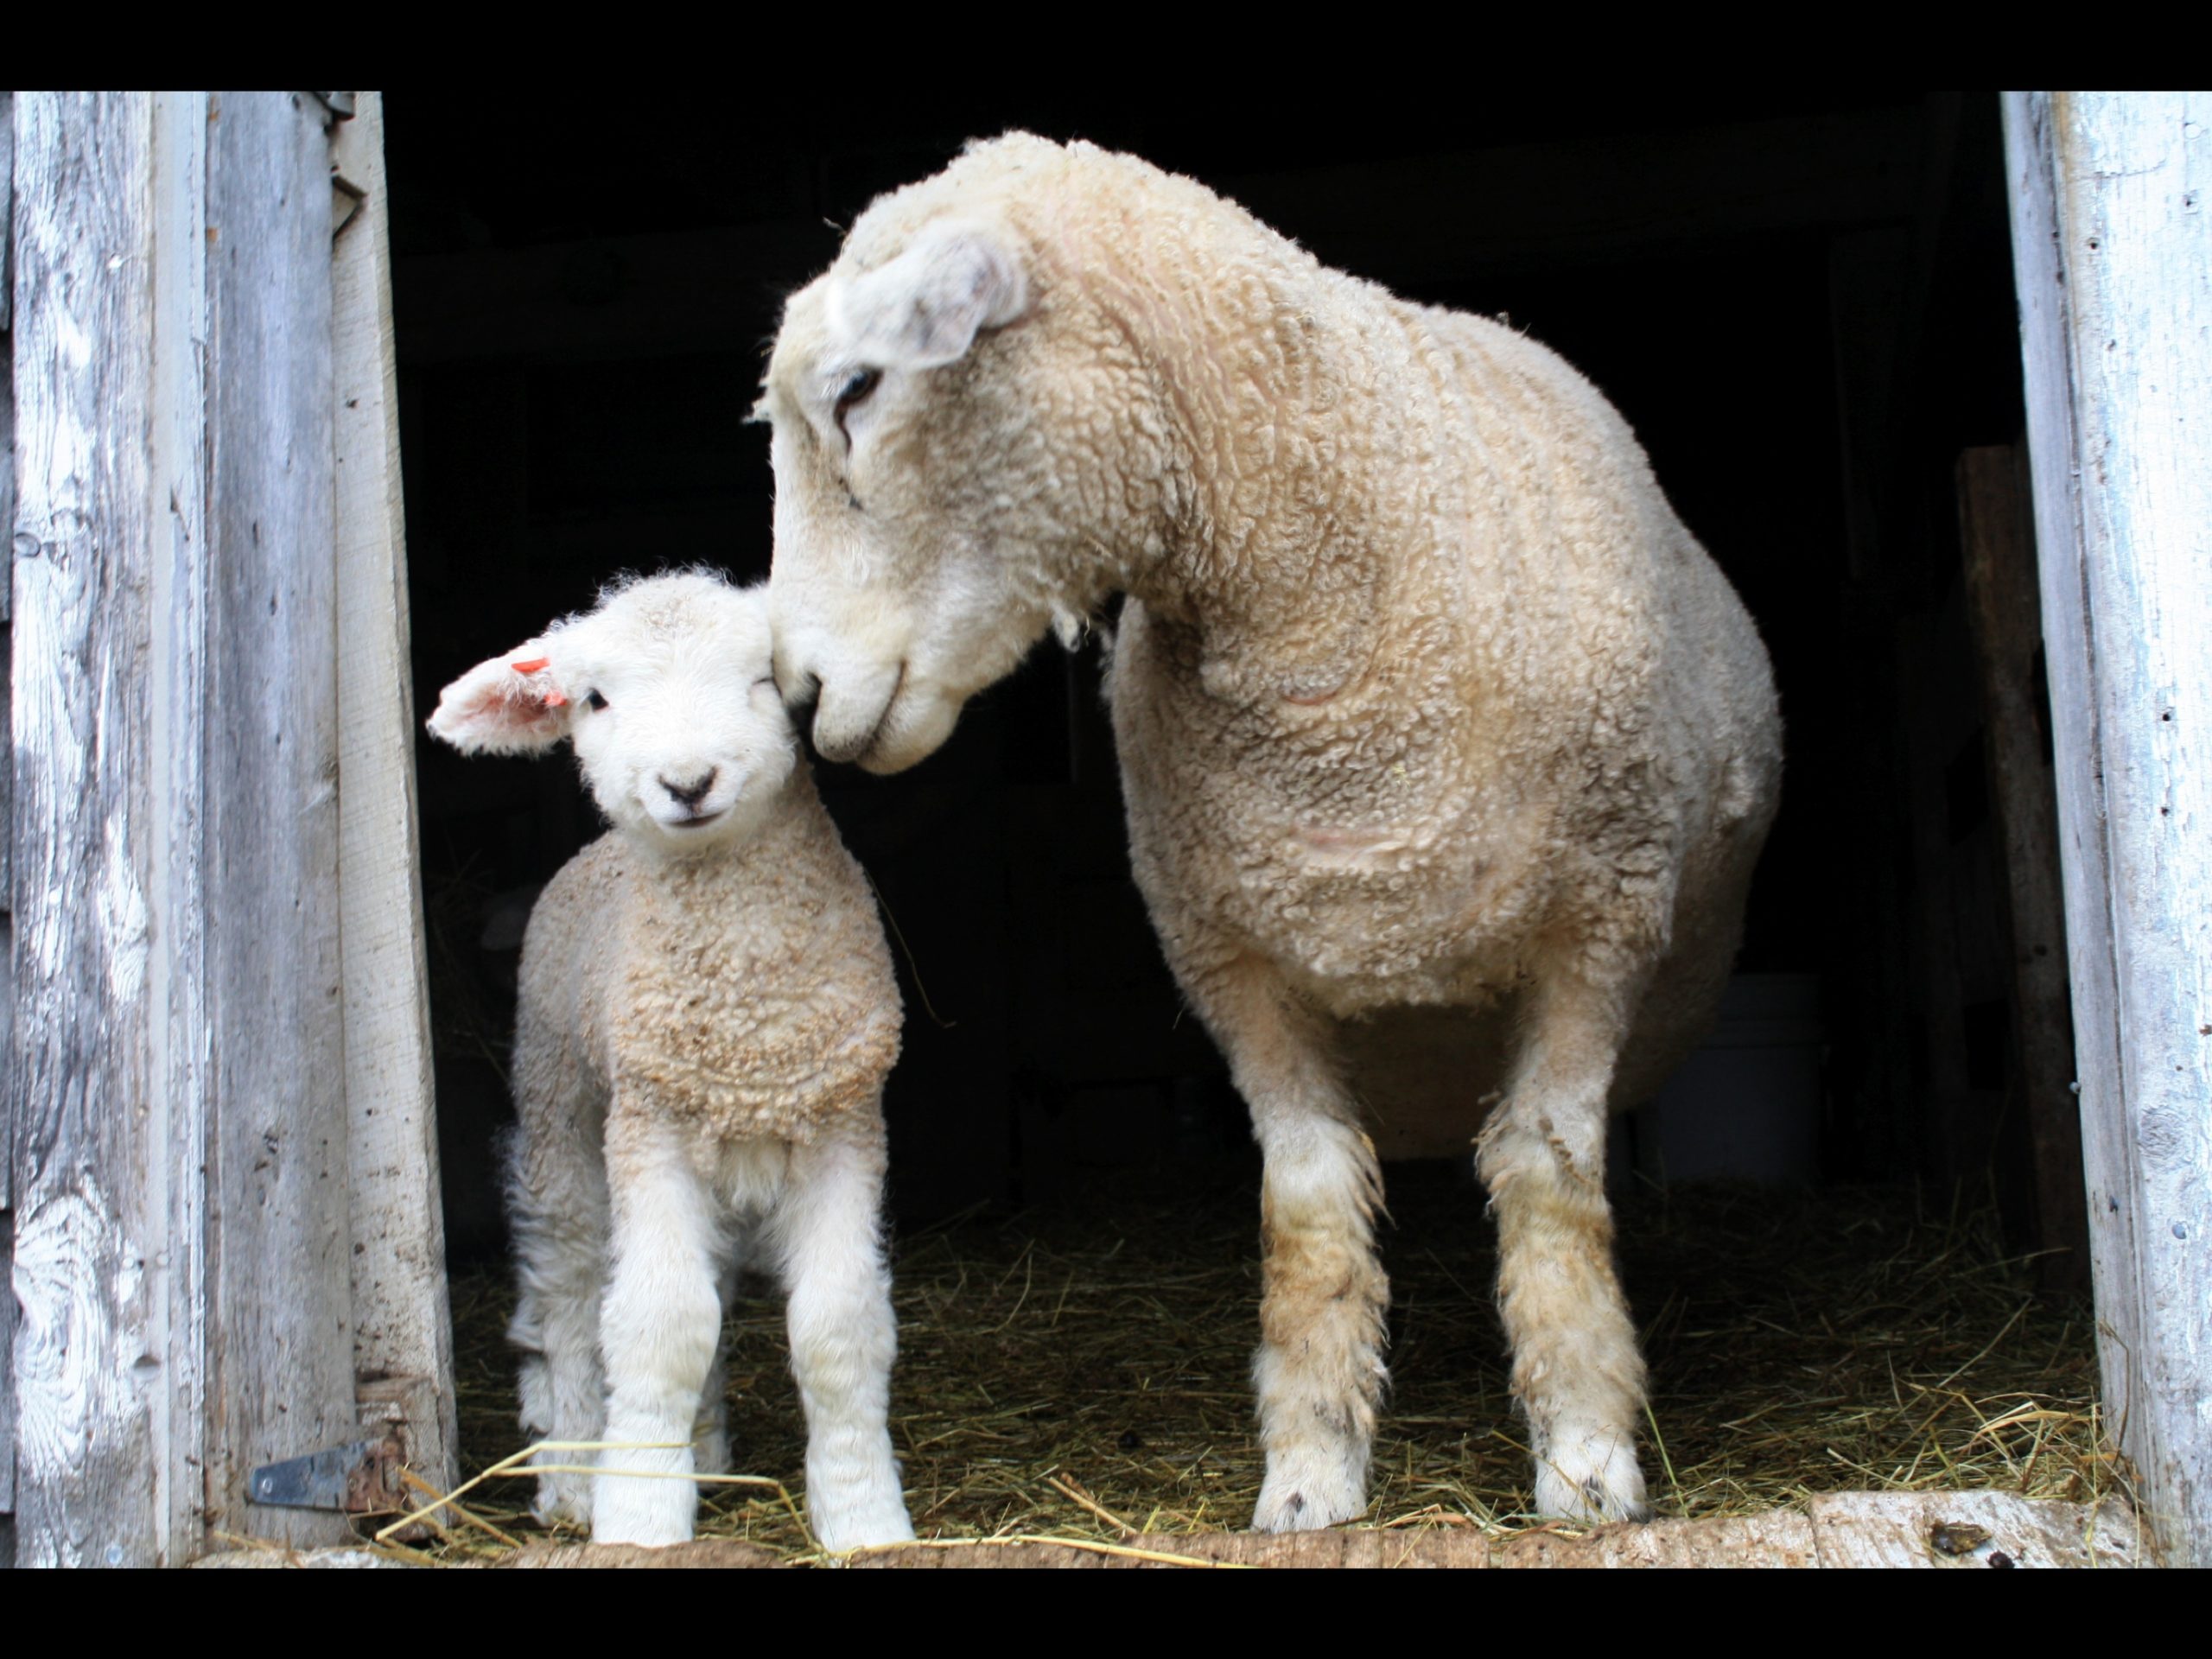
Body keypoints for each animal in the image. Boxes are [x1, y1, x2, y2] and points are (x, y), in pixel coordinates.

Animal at [425, 571, 914, 1551]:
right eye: (594, 699)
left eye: (762, 679)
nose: (687, 783)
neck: (744, 1013)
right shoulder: (648, 1127)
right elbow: (659, 1323)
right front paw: (641, 1515)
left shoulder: (842, 1123)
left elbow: (836, 1326)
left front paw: (863, 1515)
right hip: (560, 1110)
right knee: (571, 1292)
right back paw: (575, 1472)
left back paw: (708, 1452)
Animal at [759, 134, 1784, 1532]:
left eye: (859, 387)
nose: (799, 690)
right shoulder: (1234, 960)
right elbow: (1305, 1209)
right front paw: (1308, 1477)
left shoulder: (1599, 931)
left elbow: (1549, 1177)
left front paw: (1585, 1459)